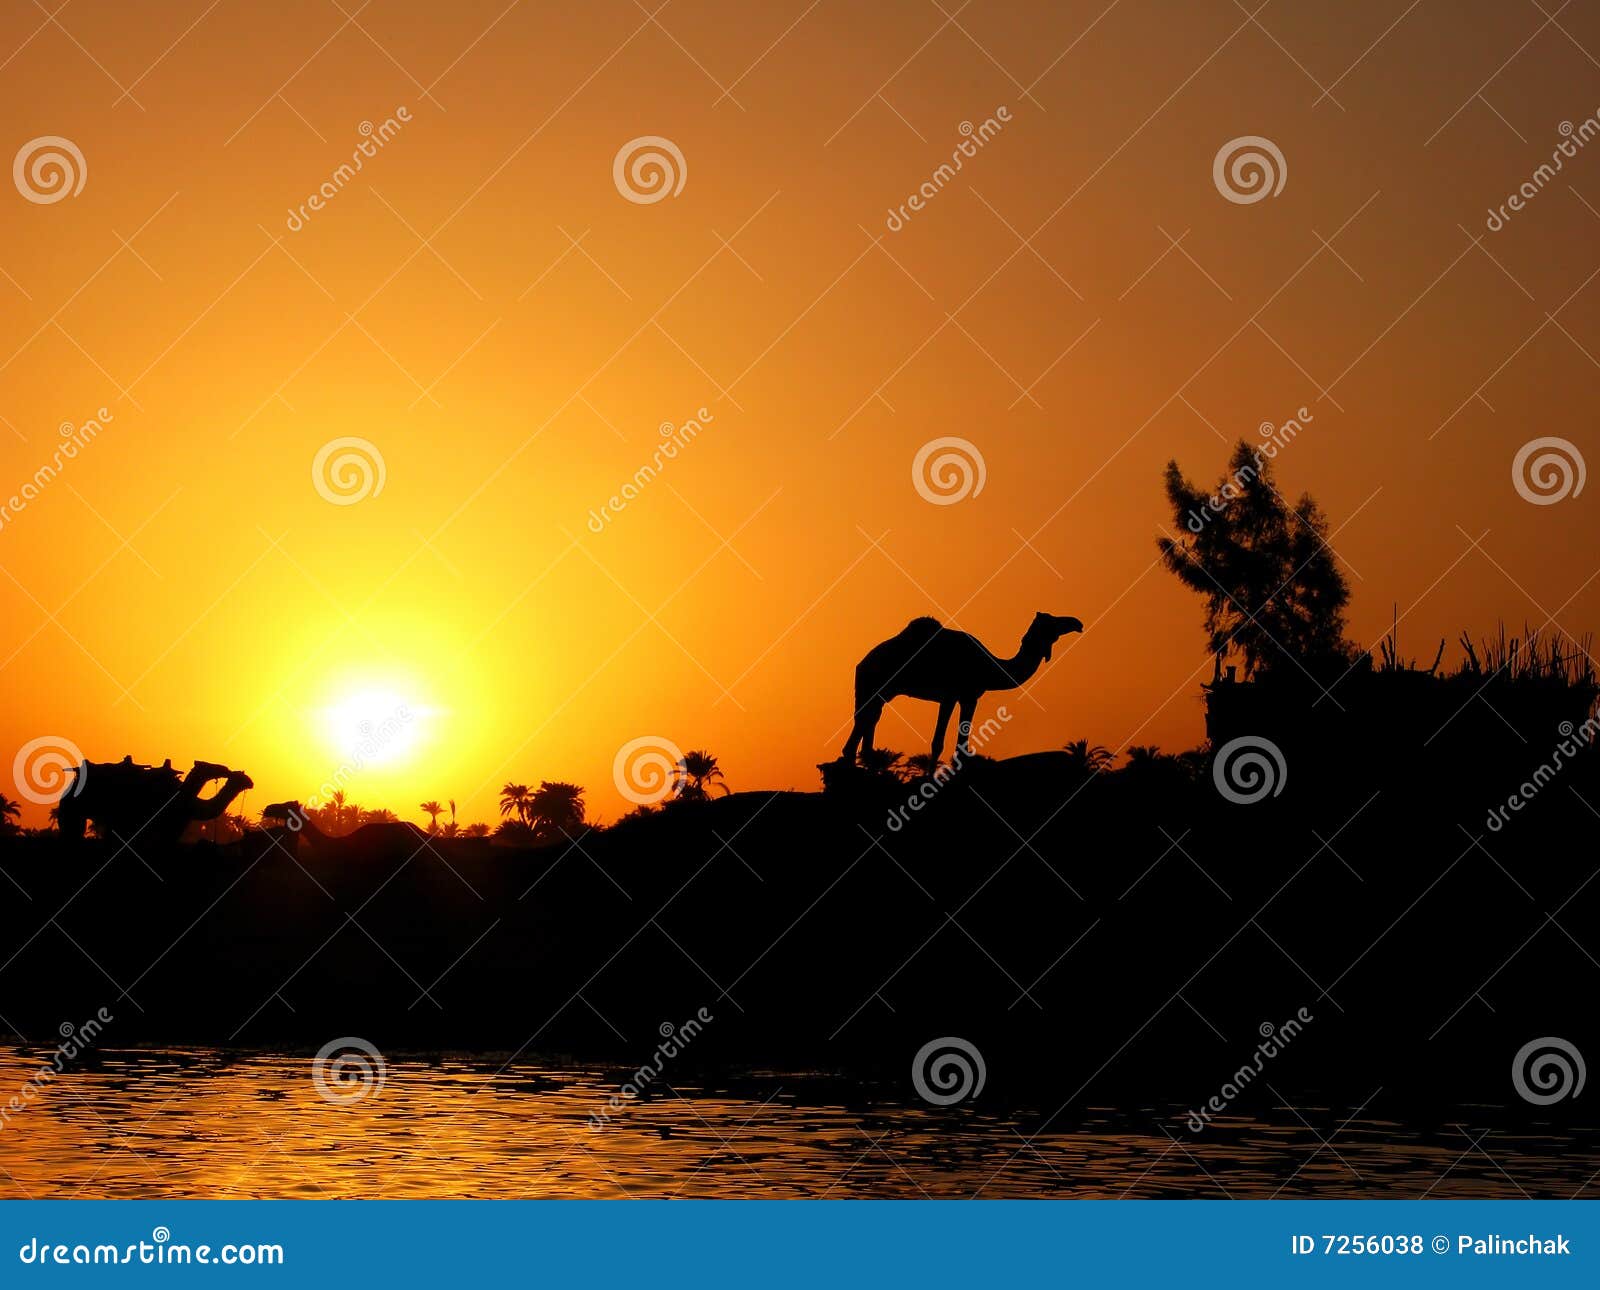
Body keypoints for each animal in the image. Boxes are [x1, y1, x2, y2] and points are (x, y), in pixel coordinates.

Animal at [842, 612, 1083, 764]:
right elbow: (938, 743)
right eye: (1052, 621)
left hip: (880, 694)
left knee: (868, 725)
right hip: (871, 686)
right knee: (861, 728)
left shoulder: (970, 697)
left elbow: (962, 746)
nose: (1077, 623)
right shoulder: (949, 695)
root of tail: (861, 663)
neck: (989, 666)